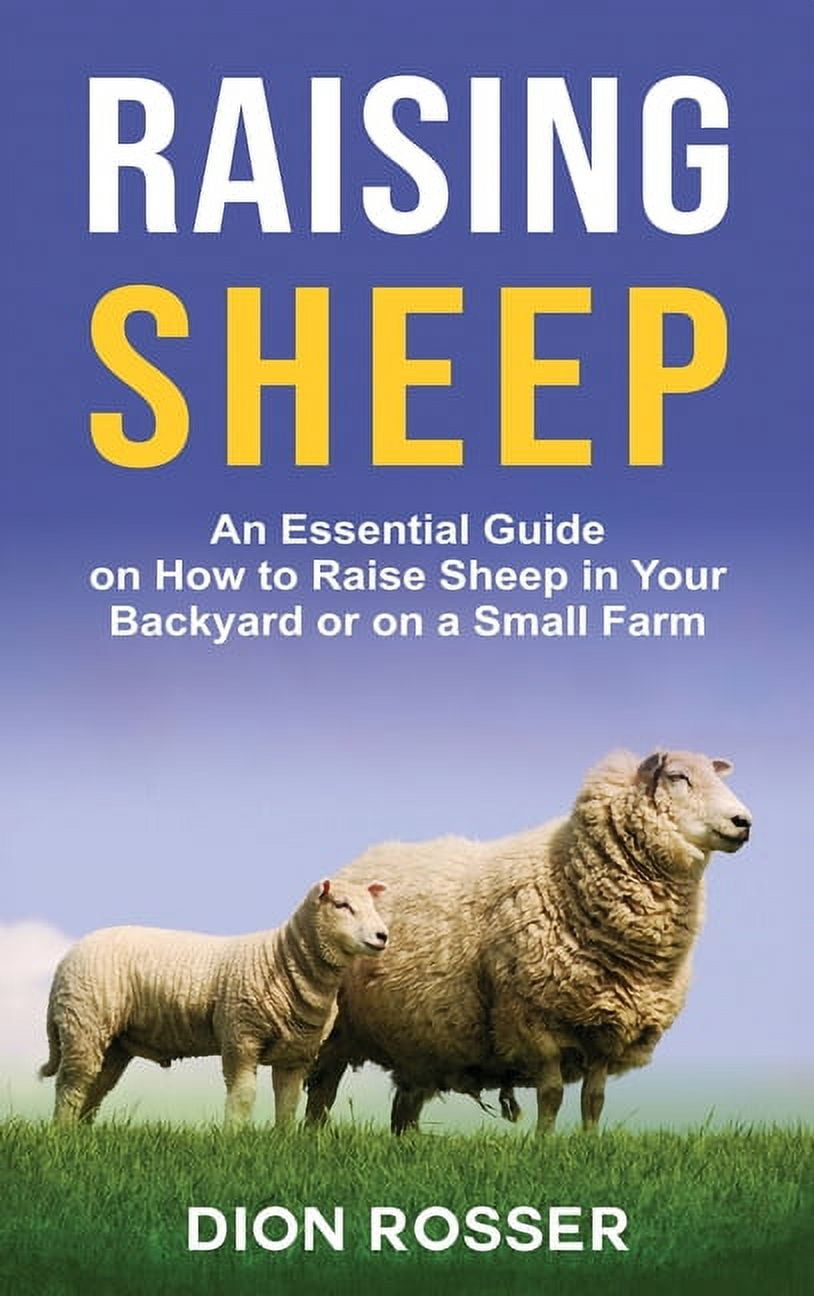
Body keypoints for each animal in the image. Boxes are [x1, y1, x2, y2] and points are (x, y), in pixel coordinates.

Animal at [39, 878, 388, 1128]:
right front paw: (234, 1138)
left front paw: (283, 1141)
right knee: (72, 1084)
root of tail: (66, 958)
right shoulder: (240, 1036)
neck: (282, 959)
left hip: (115, 1042)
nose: (383, 935)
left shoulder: (295, 1054)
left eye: (373, 906)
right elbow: (243, 1096)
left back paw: (83, 1134)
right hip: (83, 1021)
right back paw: (63, 1133)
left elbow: (288, 1104)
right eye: (342, 905)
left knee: (97, 1086)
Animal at [305, 750, 751, 1136]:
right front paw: (544, 1143)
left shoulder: (607, 1028)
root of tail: (361, 861)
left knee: (404, 1108)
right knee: (322, 1091)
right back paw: (311, 1138)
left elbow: (594, 1099)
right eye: (679, 777)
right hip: (338, 1030)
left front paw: (590, 1142)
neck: (568, 875)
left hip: (418, 1041)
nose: (743, 821)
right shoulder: (532, 1019)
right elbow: (551, 1095)